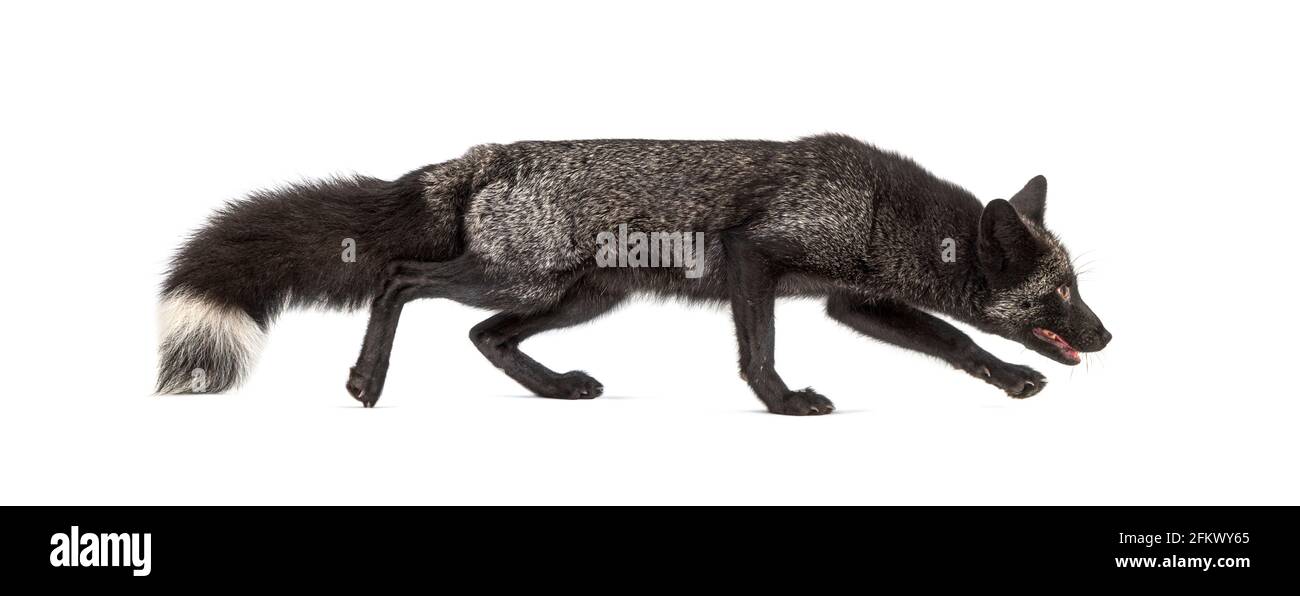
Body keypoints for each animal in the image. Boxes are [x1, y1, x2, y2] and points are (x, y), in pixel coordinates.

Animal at [157, 134, 1111, 415]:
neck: (878, 209)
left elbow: (953, 340)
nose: (1107, 336)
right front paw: (782, 404)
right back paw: (366, 379)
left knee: (484, 336)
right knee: (399, 277)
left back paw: (553, 390)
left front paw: (1008, 376)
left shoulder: (854, 302)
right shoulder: (756, 260)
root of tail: (483, 156)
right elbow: (758, 351)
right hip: (522, 278)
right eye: (1062, 293)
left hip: (577, 297)